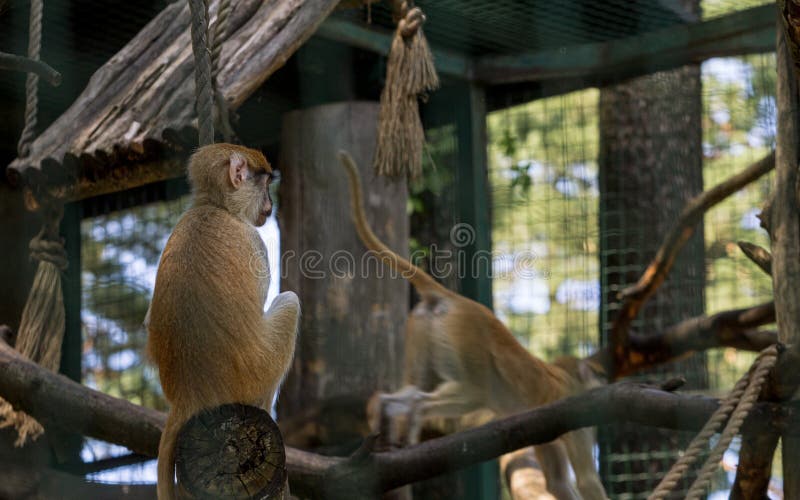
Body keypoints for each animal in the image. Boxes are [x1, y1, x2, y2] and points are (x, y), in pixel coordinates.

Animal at [146, 144, 300, 499]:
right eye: (264, 183)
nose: (270, 205)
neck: (214, 205)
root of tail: (189, 394)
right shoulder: (254, 244)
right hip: (255, 378)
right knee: (290, 302)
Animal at [338, 151, 607, 500]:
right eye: (599, 380)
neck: (567, 375)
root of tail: (455, 300)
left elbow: (559, 484)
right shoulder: (576, 414)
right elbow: (587, 481)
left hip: (423, 327)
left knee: (416, 387)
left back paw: (390, 411)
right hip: (463, 333)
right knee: (472, 392)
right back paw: (413, 410)